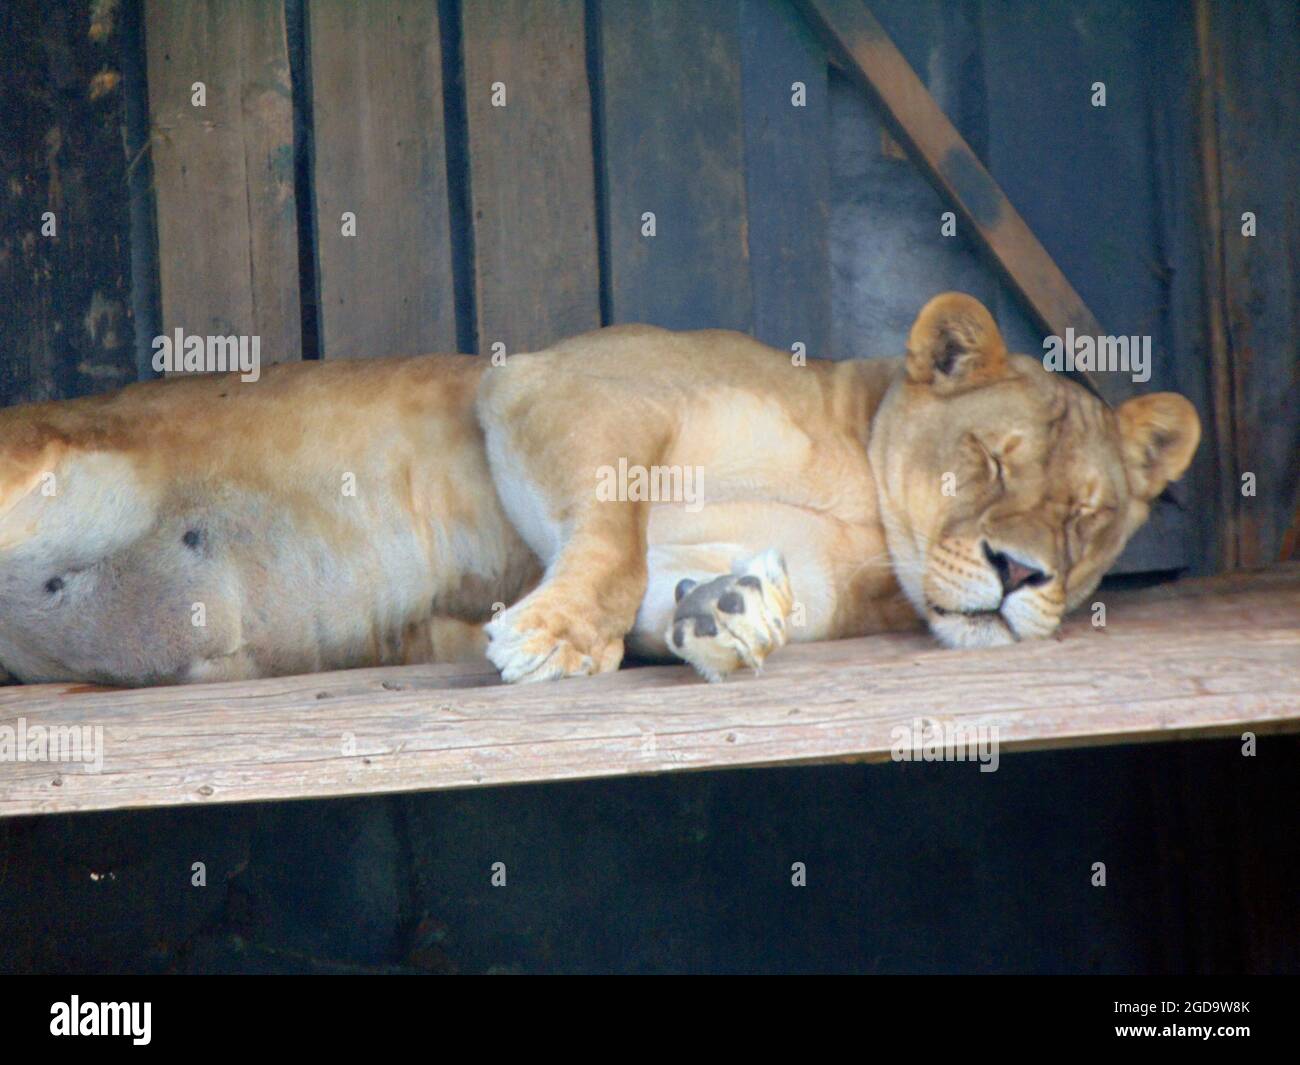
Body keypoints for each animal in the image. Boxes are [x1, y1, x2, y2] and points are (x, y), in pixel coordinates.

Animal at [0, 293, 1199, 686]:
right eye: (989, 459)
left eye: (1087, 518)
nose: (1018, 573)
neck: (864, 500)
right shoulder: (557, 385)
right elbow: (612, 540)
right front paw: (553, 637)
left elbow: (671, 589)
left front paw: (726, 614)